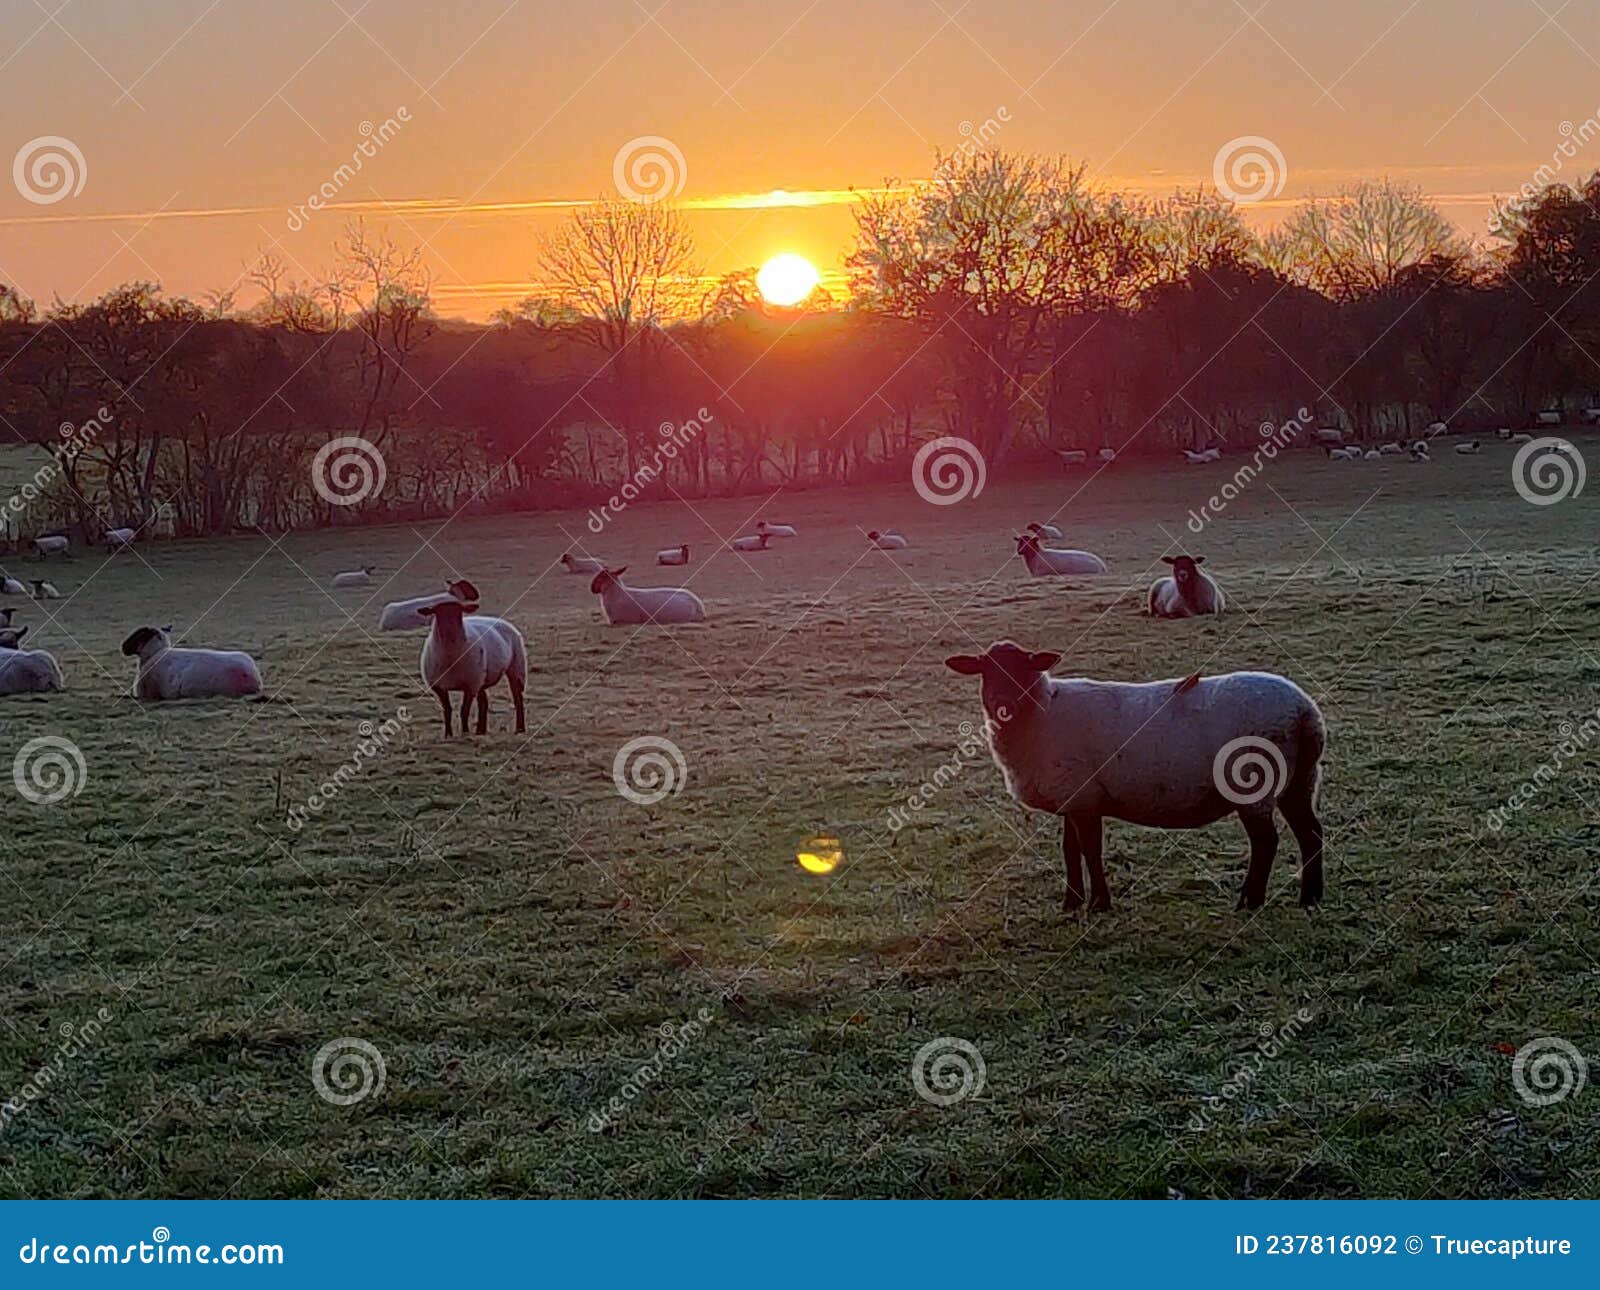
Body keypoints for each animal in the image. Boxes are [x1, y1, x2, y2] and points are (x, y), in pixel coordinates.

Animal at [416, 598, 526, 737]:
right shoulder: (439, 687)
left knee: (518, 699)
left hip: (516, 667)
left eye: (460, 613)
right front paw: (448, 735)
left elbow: (464, 710)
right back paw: (480, 731)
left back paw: (520, 729)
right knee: (483, 701)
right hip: (481, 679)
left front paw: (465, 732)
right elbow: (447, 710)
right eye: (437, 613)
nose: (451, 630)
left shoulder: (470, 685)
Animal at [944, 641, 1326, 912]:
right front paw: (1071, 904)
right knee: (1311, 833)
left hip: (1255, 783)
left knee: (1266, 842)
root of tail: (1305, 710)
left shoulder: (1084, 799)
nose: (1002, 703)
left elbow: (1090, 850)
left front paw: (1099, 904)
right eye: (985, 670)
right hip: (1300, 779)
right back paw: (1310, 897)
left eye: (1023, 669)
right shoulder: (1074, 795)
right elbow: (1069, 850)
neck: (1043, 712)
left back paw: (1250, 901)